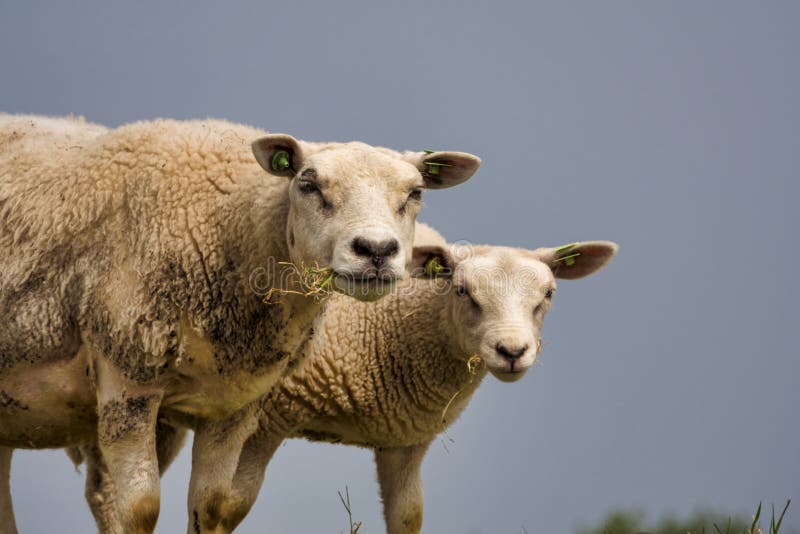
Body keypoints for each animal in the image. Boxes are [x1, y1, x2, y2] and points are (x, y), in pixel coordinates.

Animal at [0, 114, 480, 533]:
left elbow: (212, 506)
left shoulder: (235, 400)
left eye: (415, 192)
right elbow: (138, 509)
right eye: (308, 183)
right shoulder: (127, 375)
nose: (376, 250)